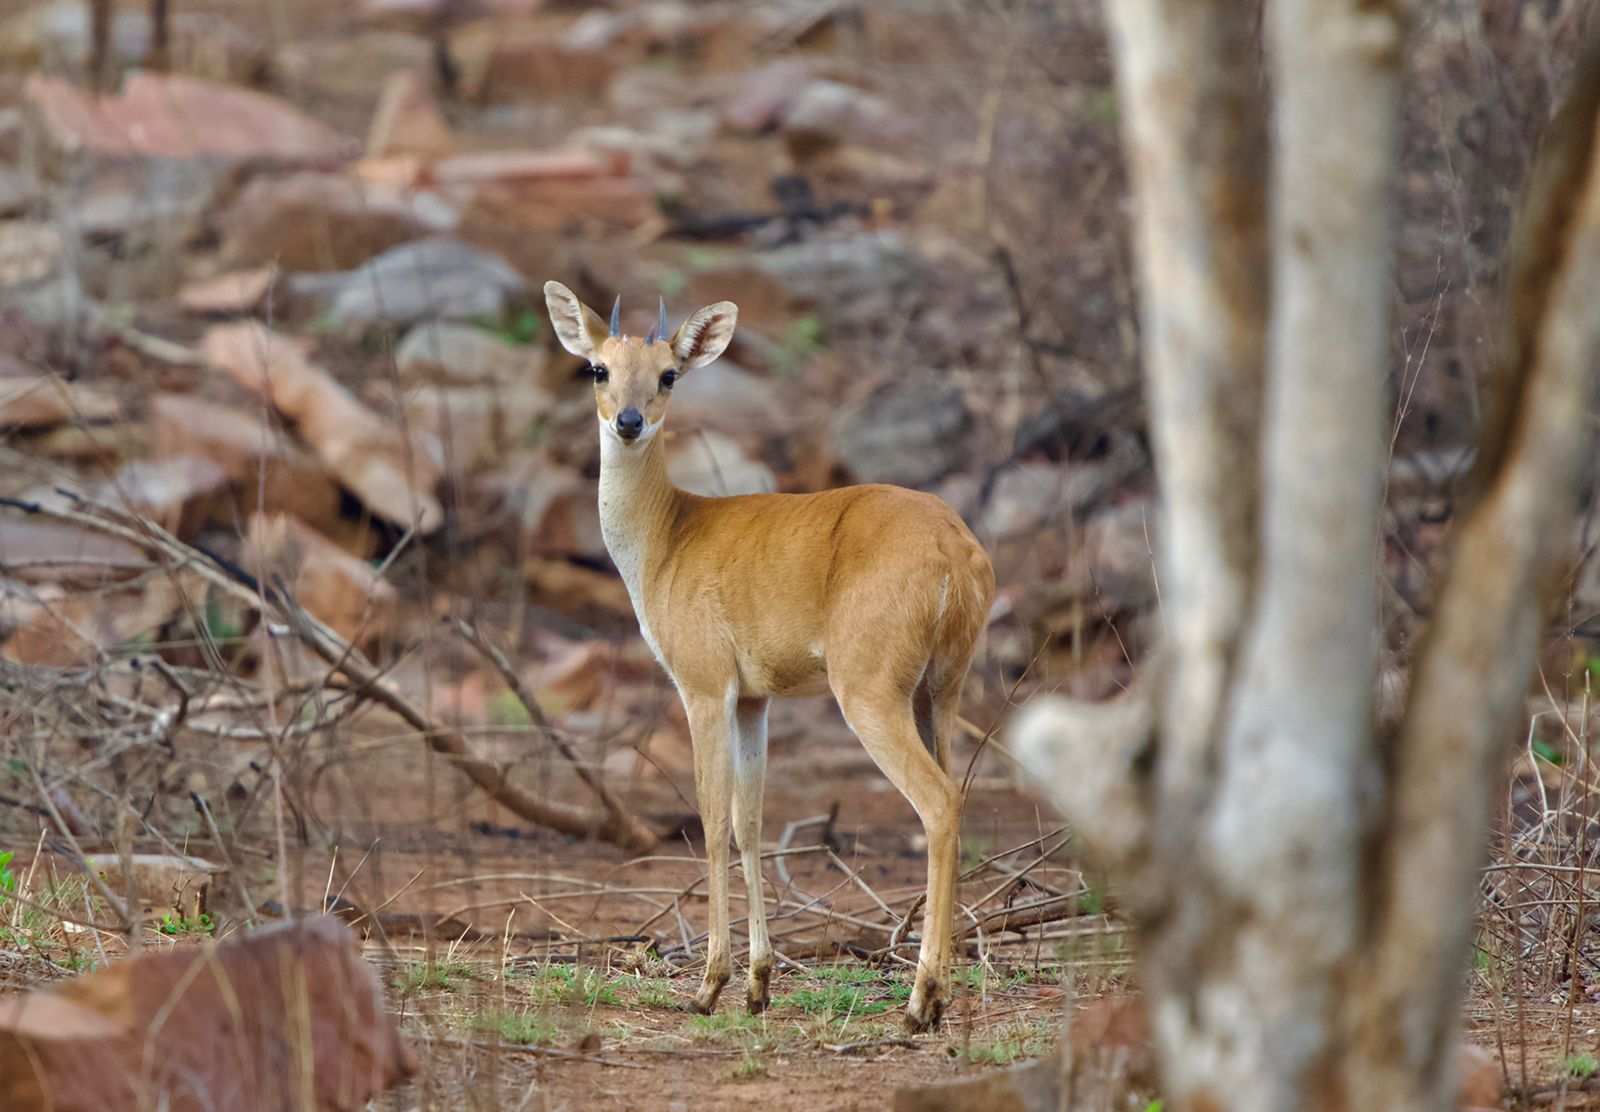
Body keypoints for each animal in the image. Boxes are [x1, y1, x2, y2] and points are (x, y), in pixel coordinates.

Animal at [543, 282, 994, 1031]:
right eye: (598, 368)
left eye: (669, 373)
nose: (629, 421)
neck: (667, 539)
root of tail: (957, 553)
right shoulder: (754, 697)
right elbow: (749, 822)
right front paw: (756, 984)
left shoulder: (702, 683)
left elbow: (708, 821)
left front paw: (708, 986)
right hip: (944, 687)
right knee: (958, 791)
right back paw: (943, 995)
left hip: (869, 687)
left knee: (937, 803)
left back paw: (919, 1000)